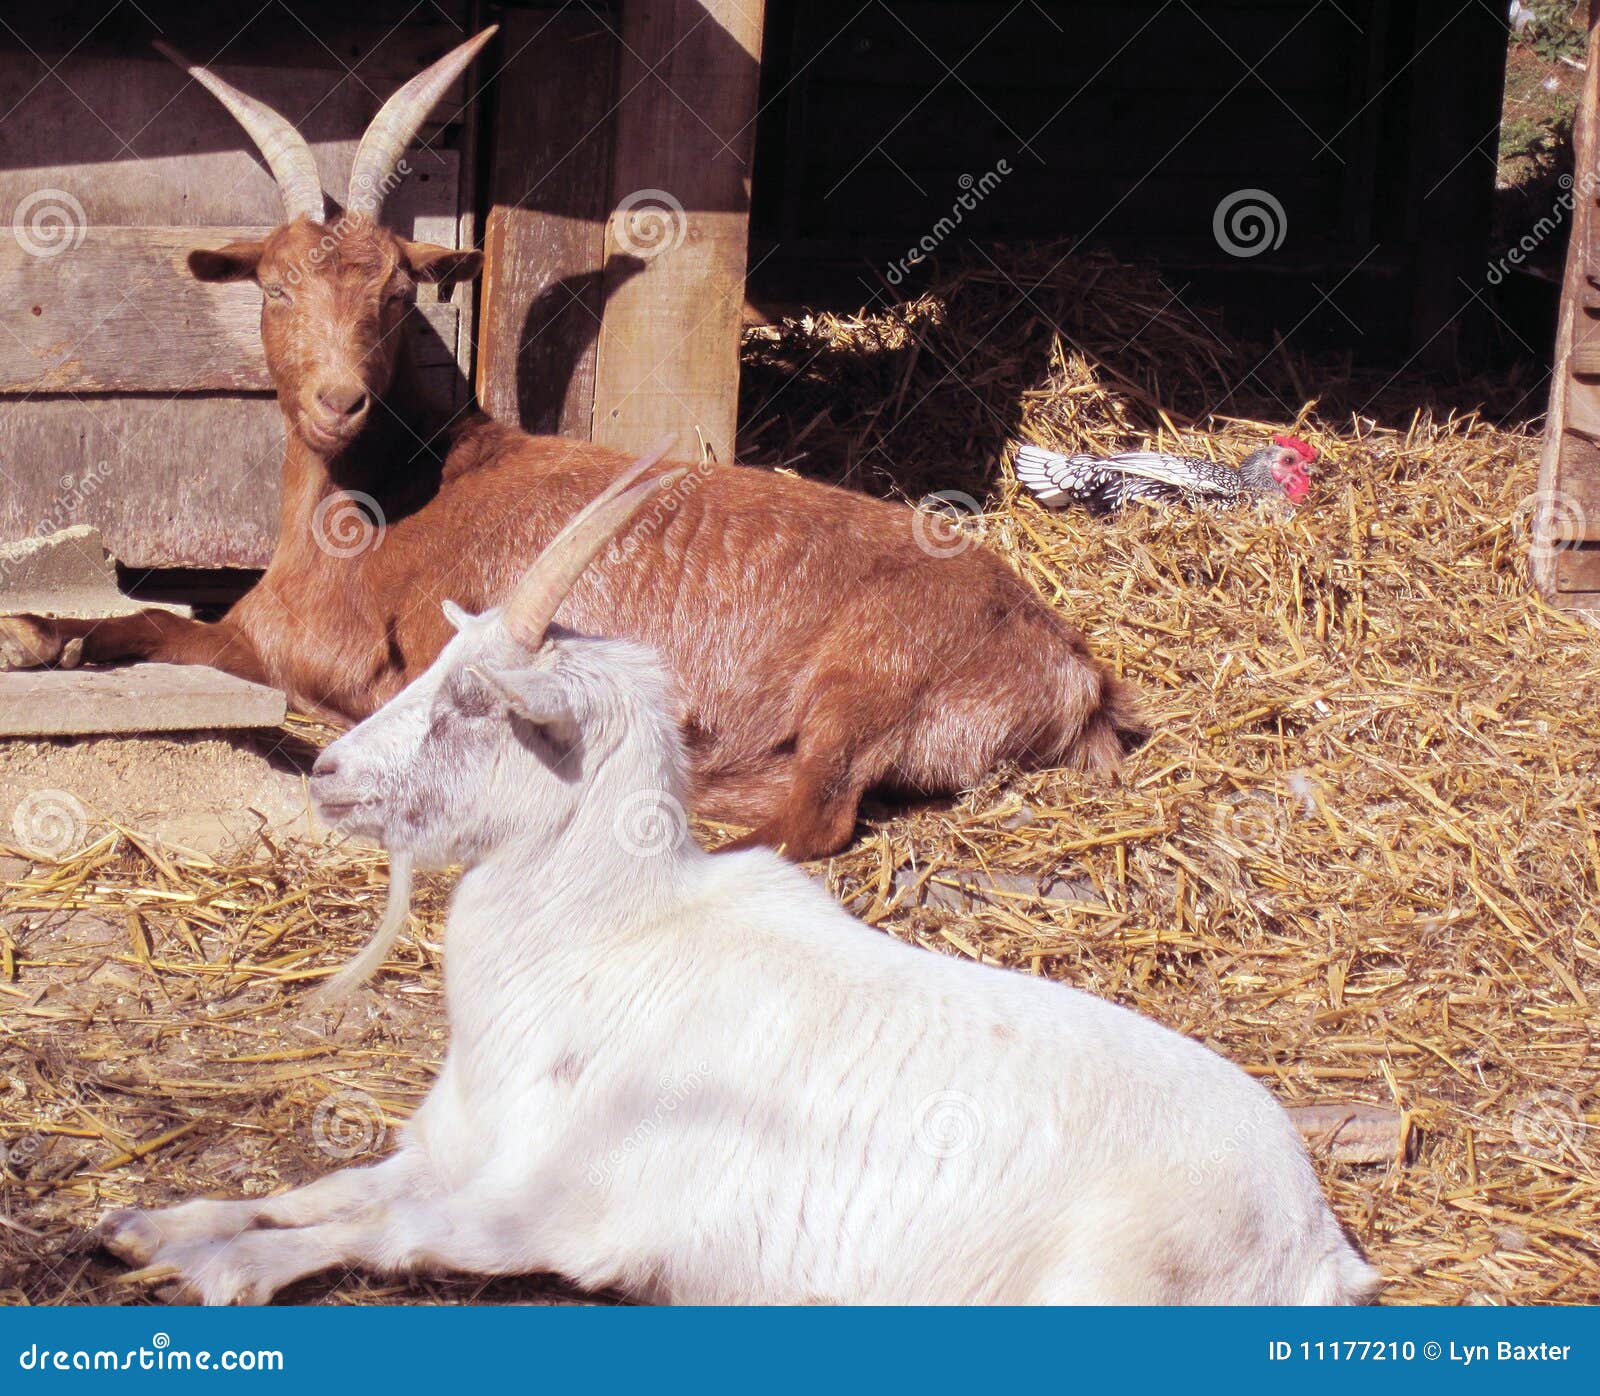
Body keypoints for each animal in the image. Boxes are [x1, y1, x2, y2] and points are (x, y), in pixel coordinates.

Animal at [0, 27, 1142, 860]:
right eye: (276, 287)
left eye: (396, 292)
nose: (338, 402)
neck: (388, 496)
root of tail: (1069, 665)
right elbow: (152, 620)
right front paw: (40, 636)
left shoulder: (376, 658)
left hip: (869, 674)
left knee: (814, 815)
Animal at [99, 453, 1377, 1306]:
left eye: (470, 697)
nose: (325, 771)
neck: (600, 948)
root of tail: (1311, 1233)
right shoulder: (450, 1150)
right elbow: (330, 1188)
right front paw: (151, 1221)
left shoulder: (535, 1211)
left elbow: (378, 1230)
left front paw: (217, 1262)